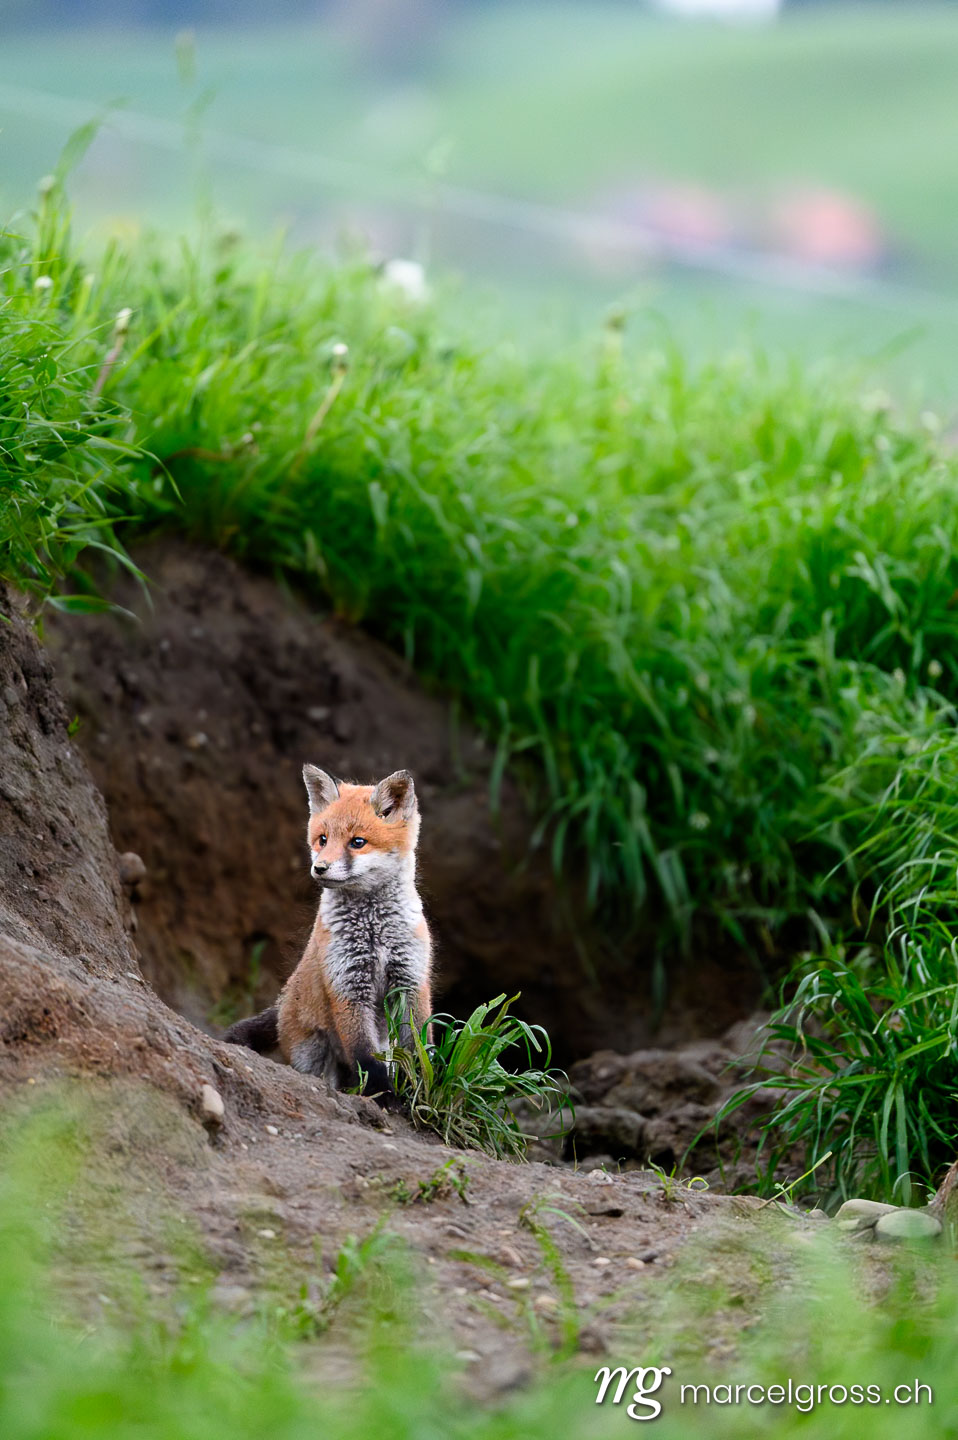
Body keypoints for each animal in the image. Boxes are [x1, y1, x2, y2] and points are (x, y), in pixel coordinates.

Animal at [223, 765, 433, 1105]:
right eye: (322, 839)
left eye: (357, 842)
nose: (319, 868)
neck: (373, 932)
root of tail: (283, 1002)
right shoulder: (347, 984)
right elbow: (365, 1056)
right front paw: (384, 1095)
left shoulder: (410, 980)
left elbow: (417, 1050)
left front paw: (421, 1091)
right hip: (314, 1053)